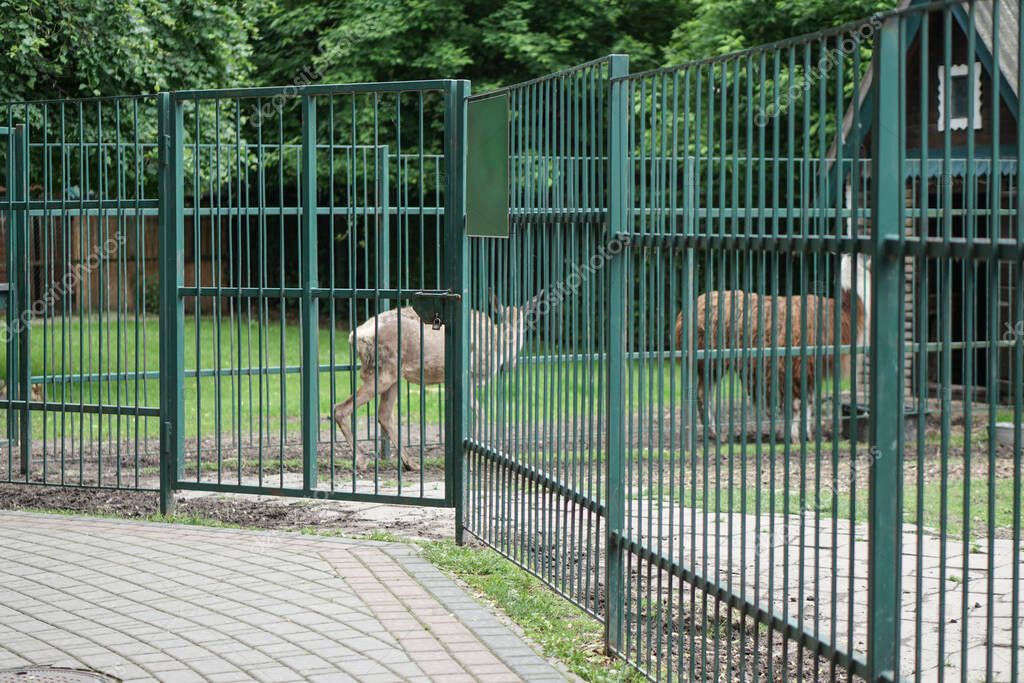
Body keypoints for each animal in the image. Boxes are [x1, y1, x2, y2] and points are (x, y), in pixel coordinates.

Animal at [332, 291, 544, 471]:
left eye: (524, 321)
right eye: (506, 319)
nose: (511, 363)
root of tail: (355, 336)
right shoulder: (469, 376)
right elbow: (480, 413)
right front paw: (475, 458)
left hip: (394, 375)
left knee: (383, 414)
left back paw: (411, 463)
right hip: (383, 370)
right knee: (340, 408)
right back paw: (362, 461)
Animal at [675, 252, 870, 442]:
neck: (841, 315)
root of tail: (686, 313)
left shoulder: (810, 368)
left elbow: (809, 402)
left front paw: (807, 435)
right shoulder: (796, 363)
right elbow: (796, 404)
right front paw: (793, 436)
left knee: (704, 393)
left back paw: (713, 433)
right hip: (711, 358)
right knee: (703, 395)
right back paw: (716, 433)